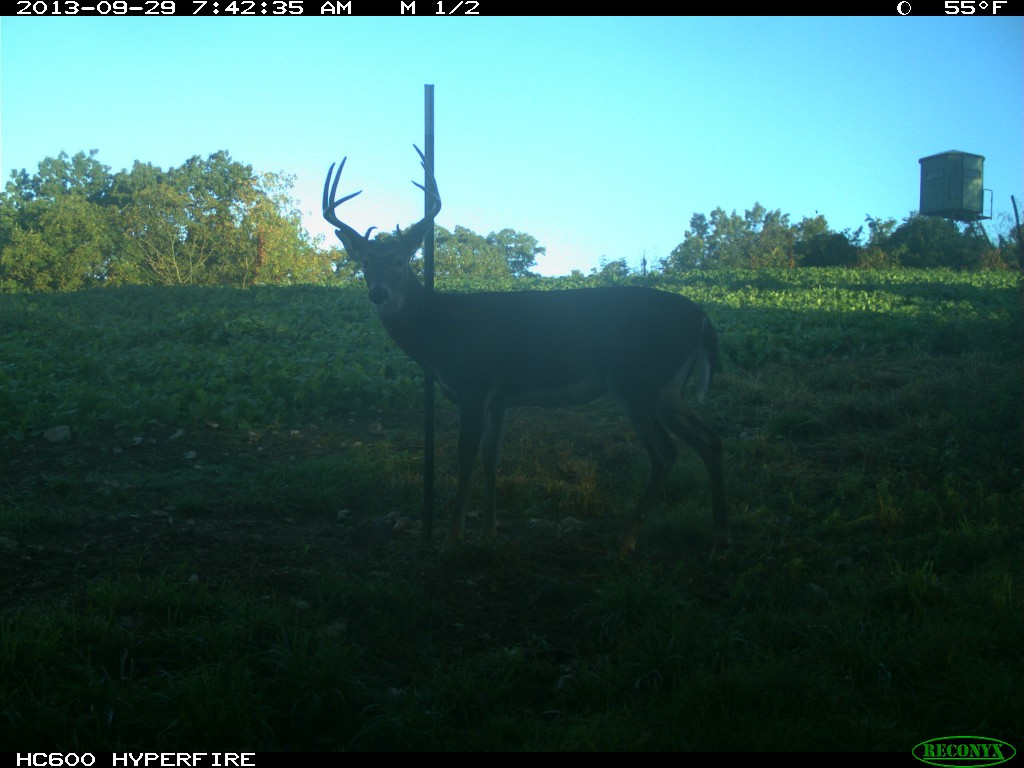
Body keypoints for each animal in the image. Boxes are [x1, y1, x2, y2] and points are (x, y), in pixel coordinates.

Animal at [323, 146, 728, 555]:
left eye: (400, 261)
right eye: (364, 263)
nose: (379, 293)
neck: (439, 333)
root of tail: (703, 319)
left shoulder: (474, 384)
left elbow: (465, 459)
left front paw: (453, 538)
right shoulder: (499, 399)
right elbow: (491, 461)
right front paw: (488, 532)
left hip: (638, 380)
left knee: (665, 453)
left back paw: (627, 538)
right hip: (667, 388)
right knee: (710, 440)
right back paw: (718, 540)